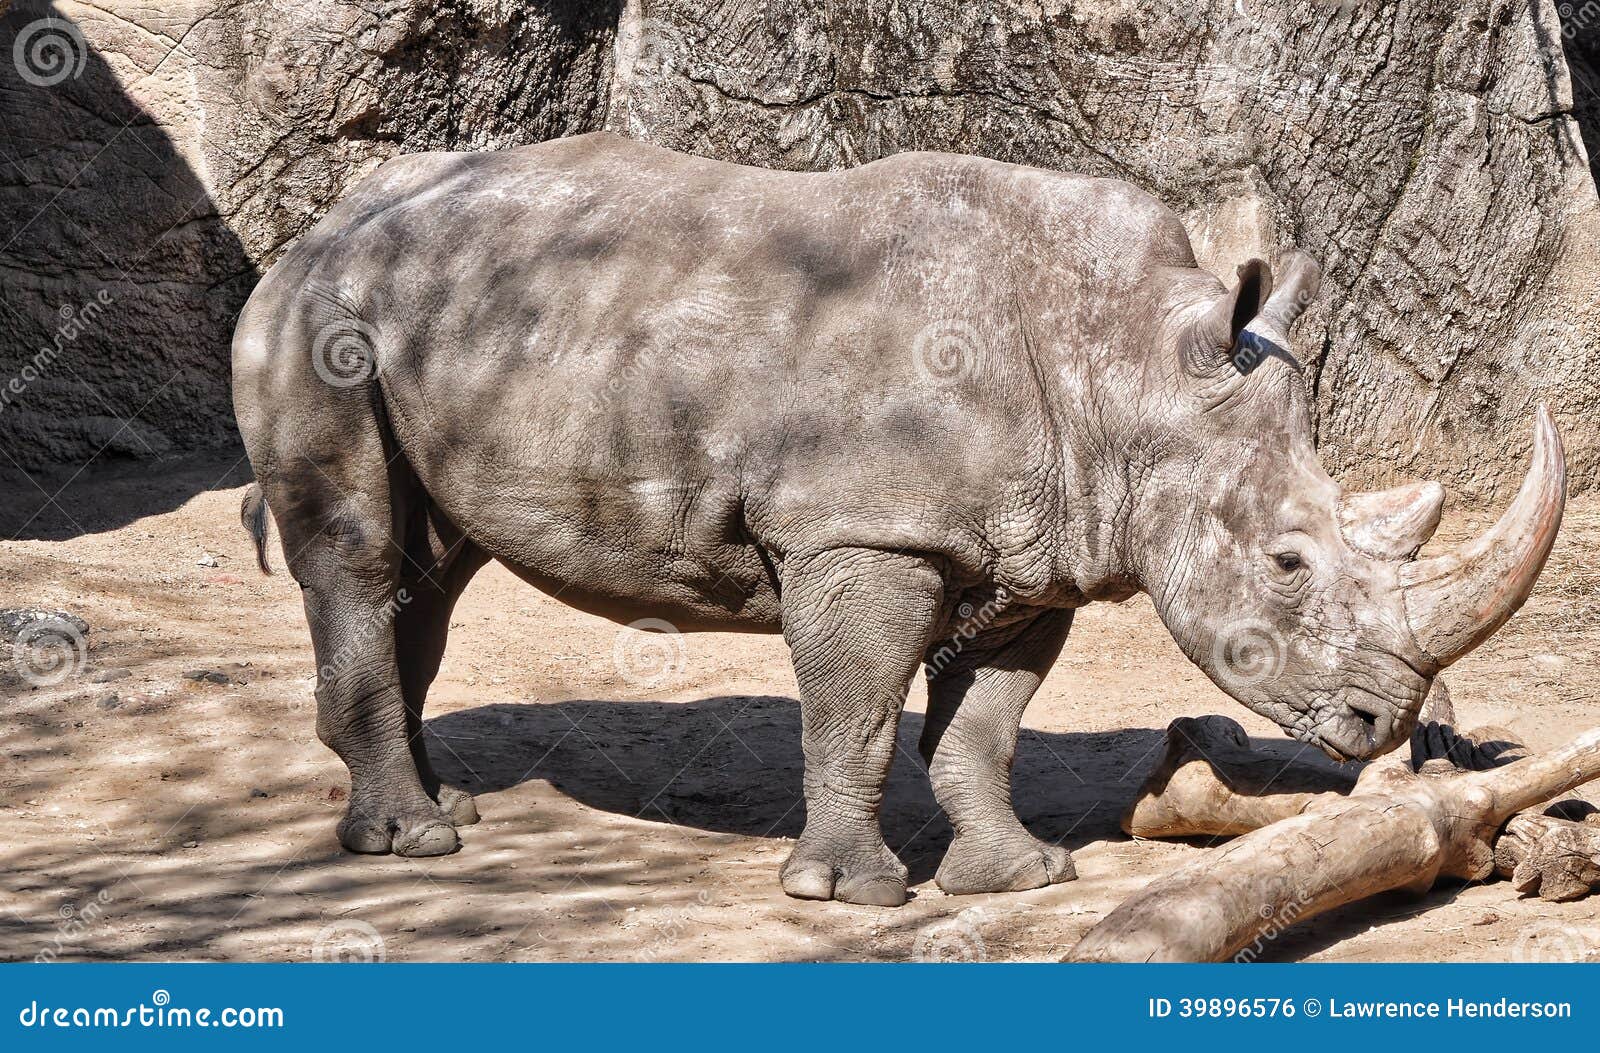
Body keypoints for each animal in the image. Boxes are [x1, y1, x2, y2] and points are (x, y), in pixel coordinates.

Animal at [232, 131, 1565, 906]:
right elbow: (858, 712)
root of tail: (322, 220)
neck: (1127, 366)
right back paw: (414, 842)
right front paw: (850, 895)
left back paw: (445, 804)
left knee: (433, 566)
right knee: (360, 554)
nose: (1380, 722)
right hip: (321, 315)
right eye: (1287, 563)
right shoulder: (863, 530)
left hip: (447, 317)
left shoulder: (1038, 548)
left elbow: (984, 728)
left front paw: (1018, 880)